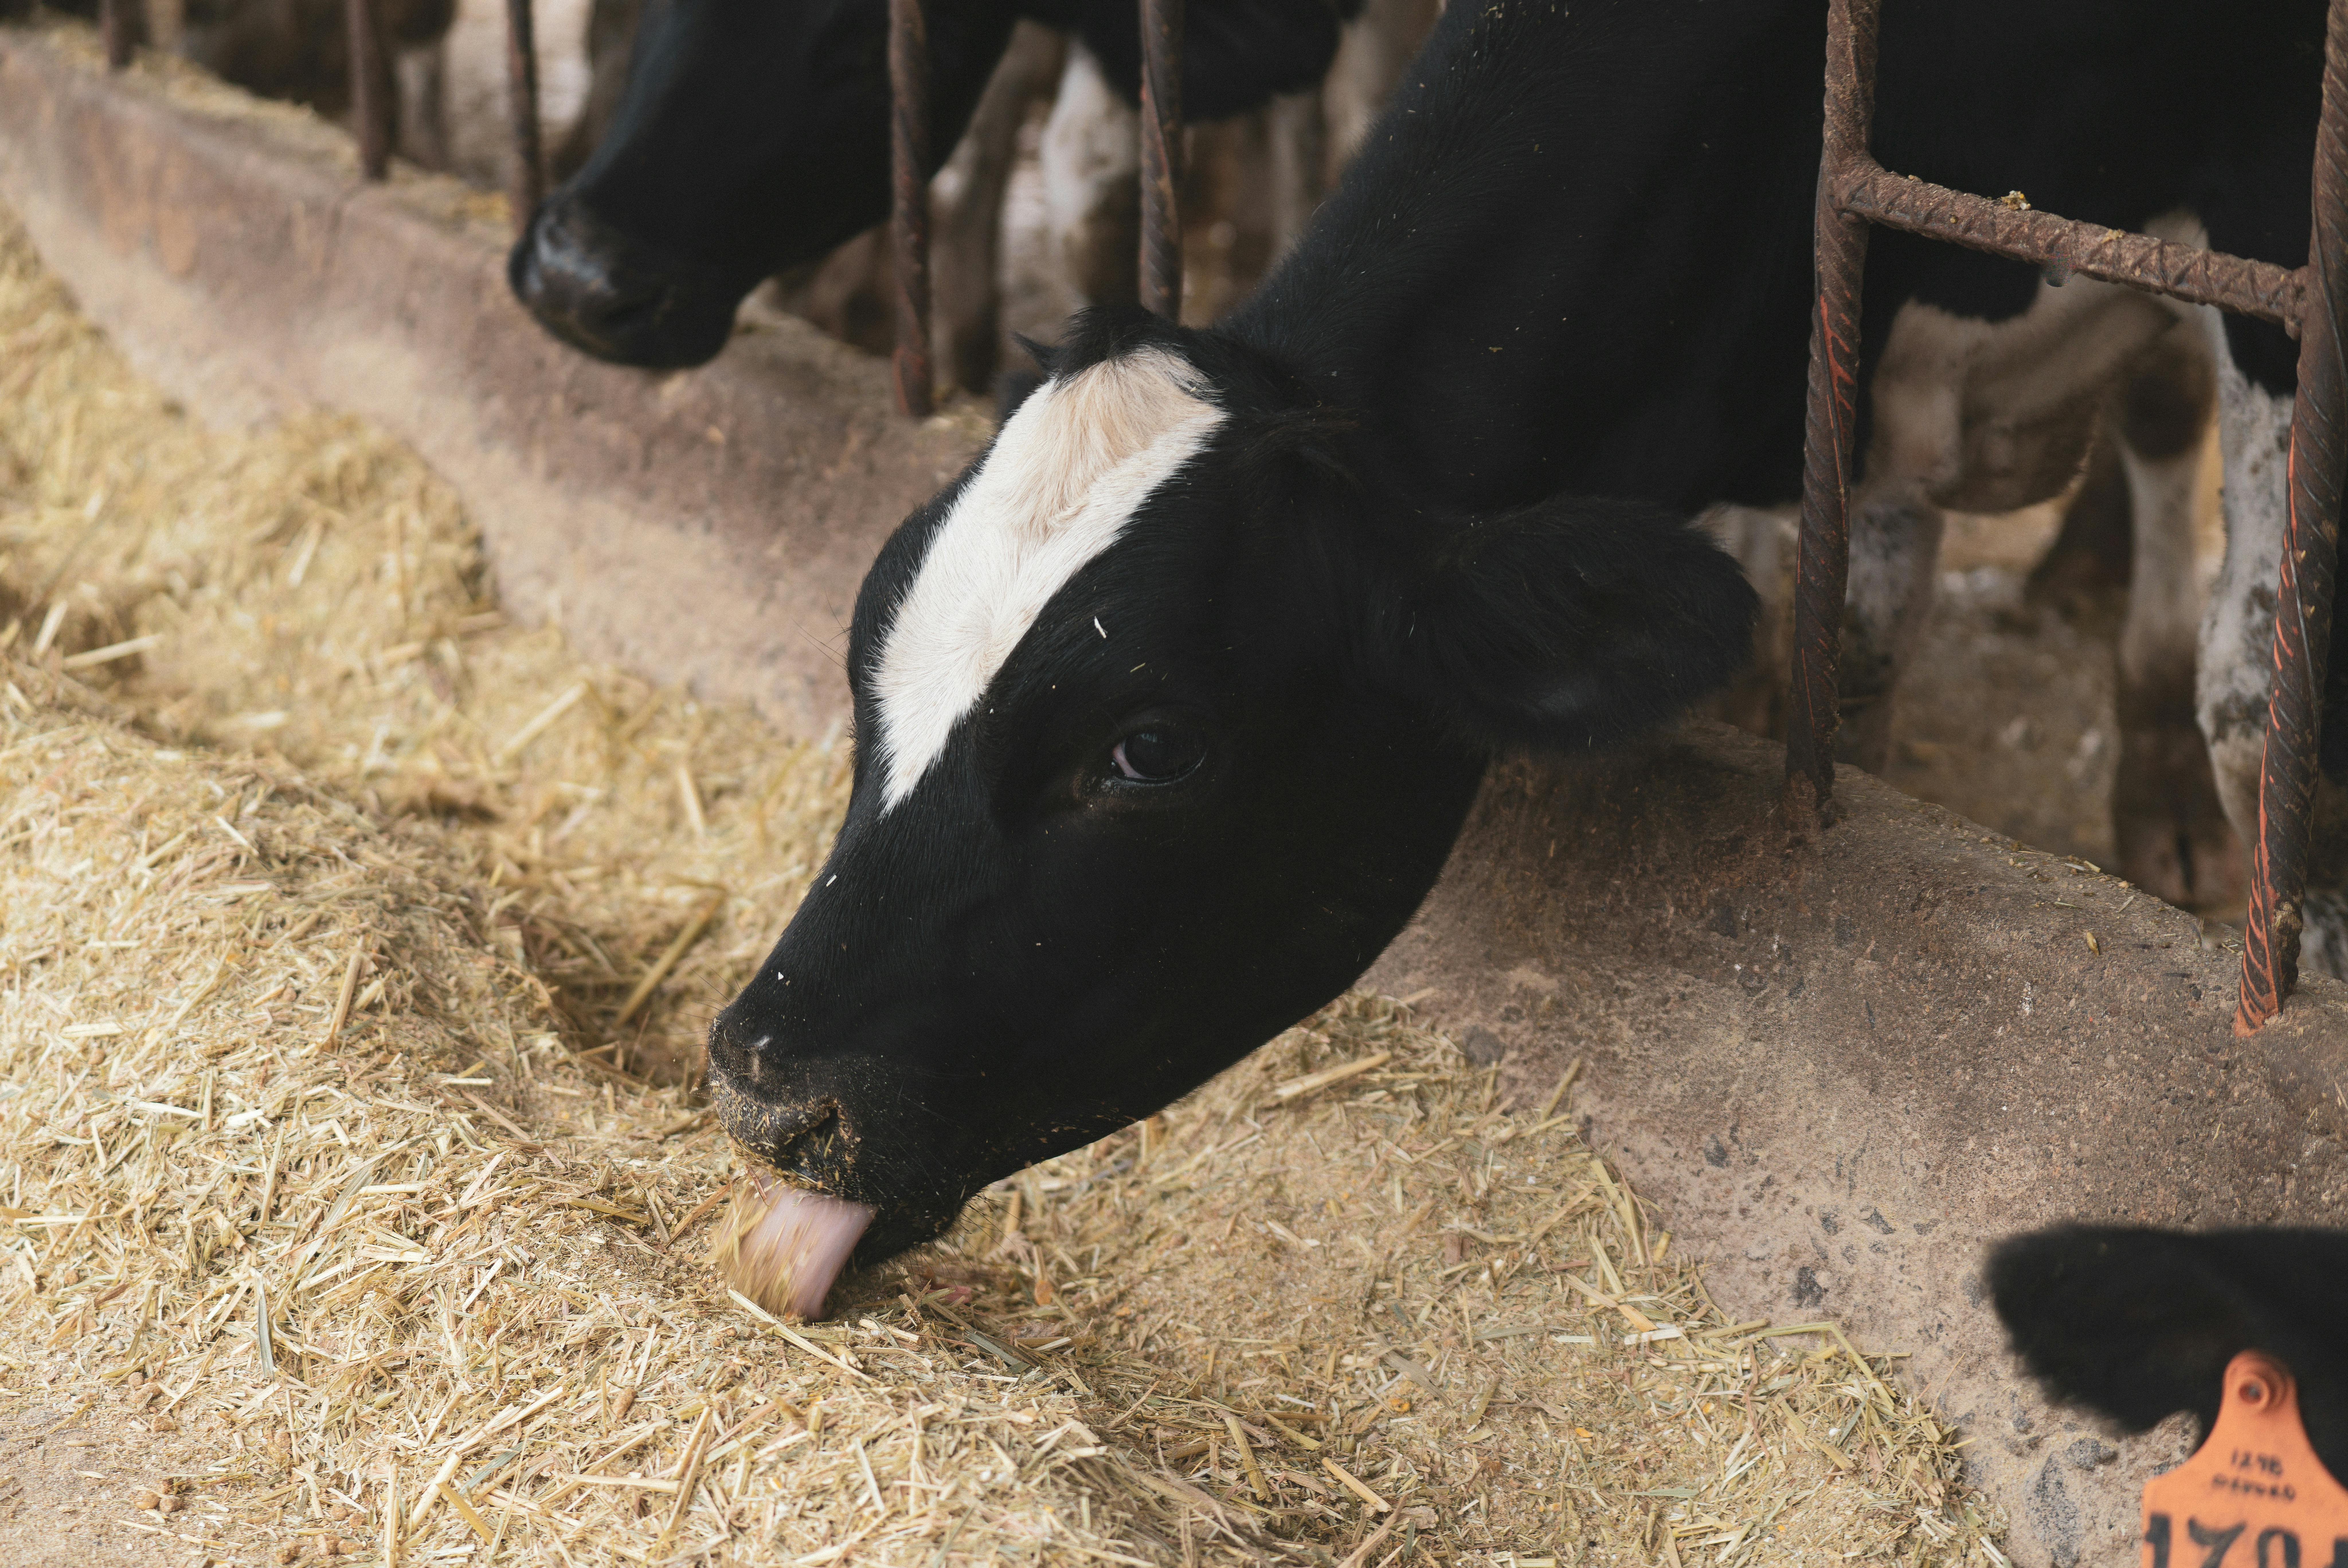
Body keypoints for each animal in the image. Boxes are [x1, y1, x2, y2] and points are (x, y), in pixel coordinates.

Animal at [700, 0, 2346, 1305]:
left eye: (1150, 747)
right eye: (867, 653)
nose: (764, 1088)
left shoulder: (2272, 221)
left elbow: (2248, 677)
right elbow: (1855, 655)